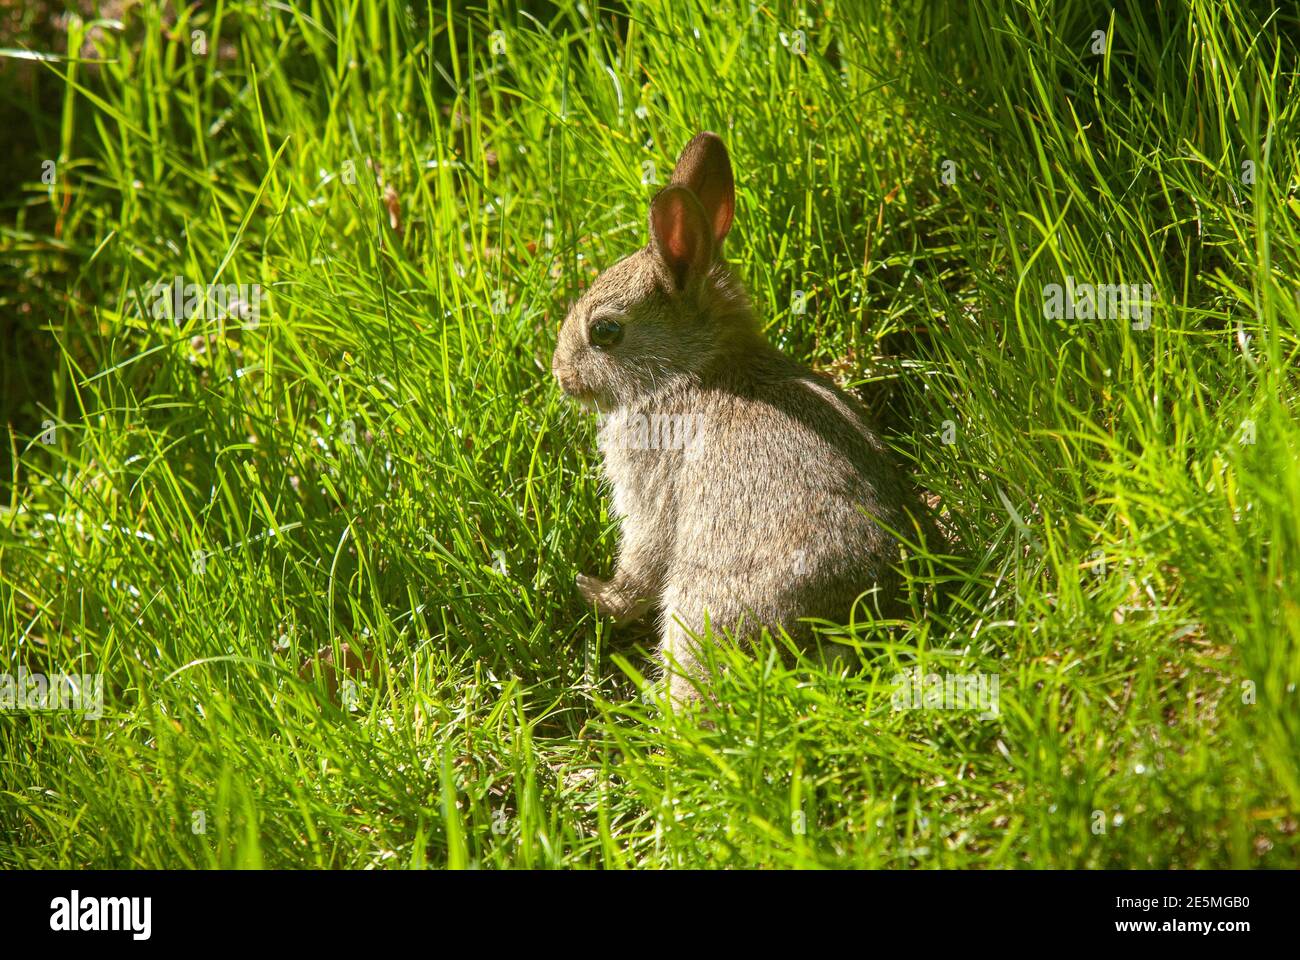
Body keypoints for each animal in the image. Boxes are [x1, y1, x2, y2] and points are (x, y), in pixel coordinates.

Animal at [552, 131, 935, 705]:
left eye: (604, 332)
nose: (561, 376)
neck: (691, 370)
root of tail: (845, 629)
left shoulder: (650, 492)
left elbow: (641, 560)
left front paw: (595, 594)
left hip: (702, 606)